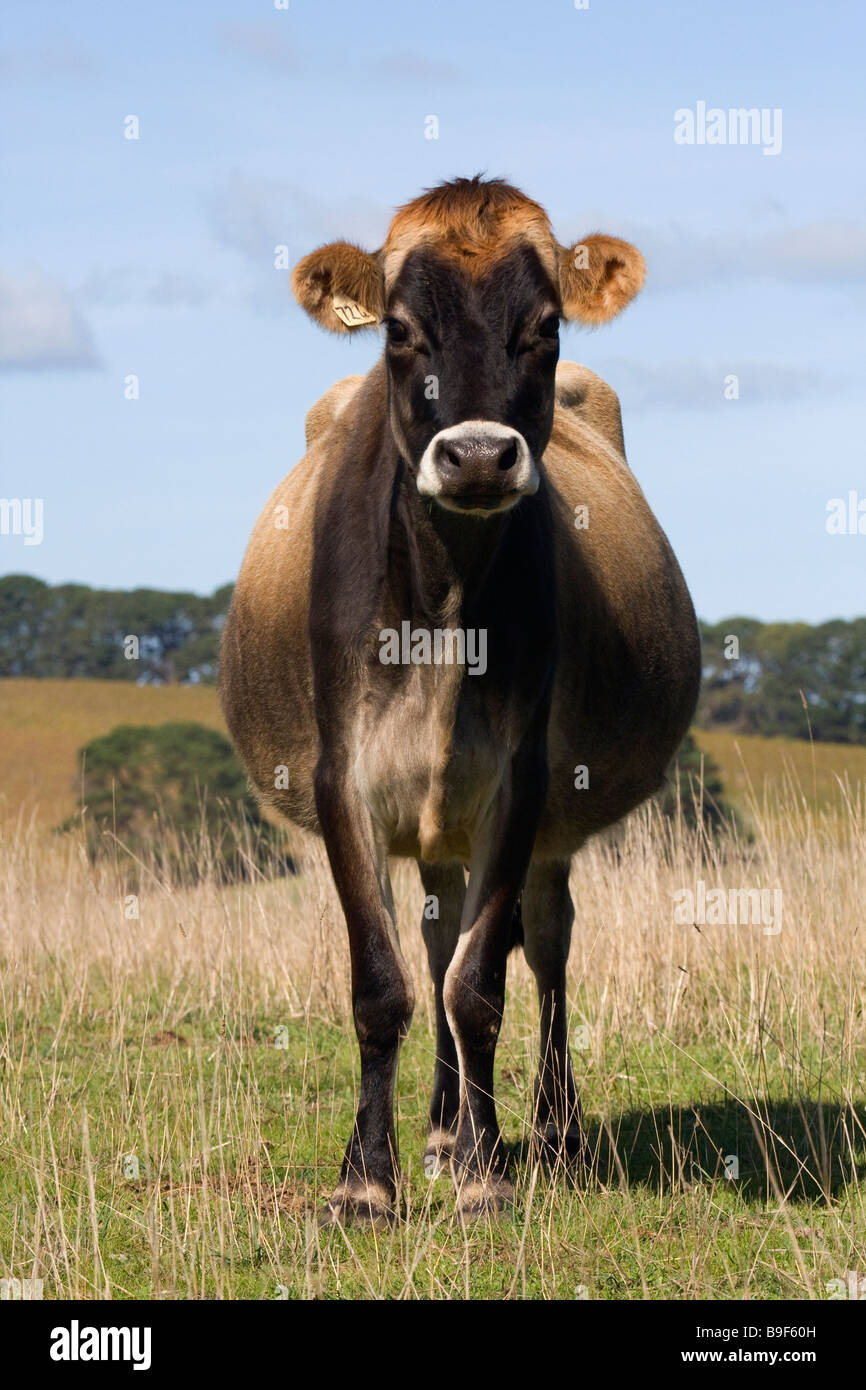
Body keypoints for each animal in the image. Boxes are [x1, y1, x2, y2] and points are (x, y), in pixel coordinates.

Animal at [219, 176, 700, 1228]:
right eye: (400, 330)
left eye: (545, 325)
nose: (478, 456)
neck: (442, 606)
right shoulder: (343, 777)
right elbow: (384, 985)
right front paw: (369, 1178)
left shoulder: (520, 778)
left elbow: (479, 985)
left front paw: (486, 1172)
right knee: (436, 941)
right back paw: (440, 1131)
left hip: (546, 816)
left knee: (543, 945)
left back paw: (548, 1132)